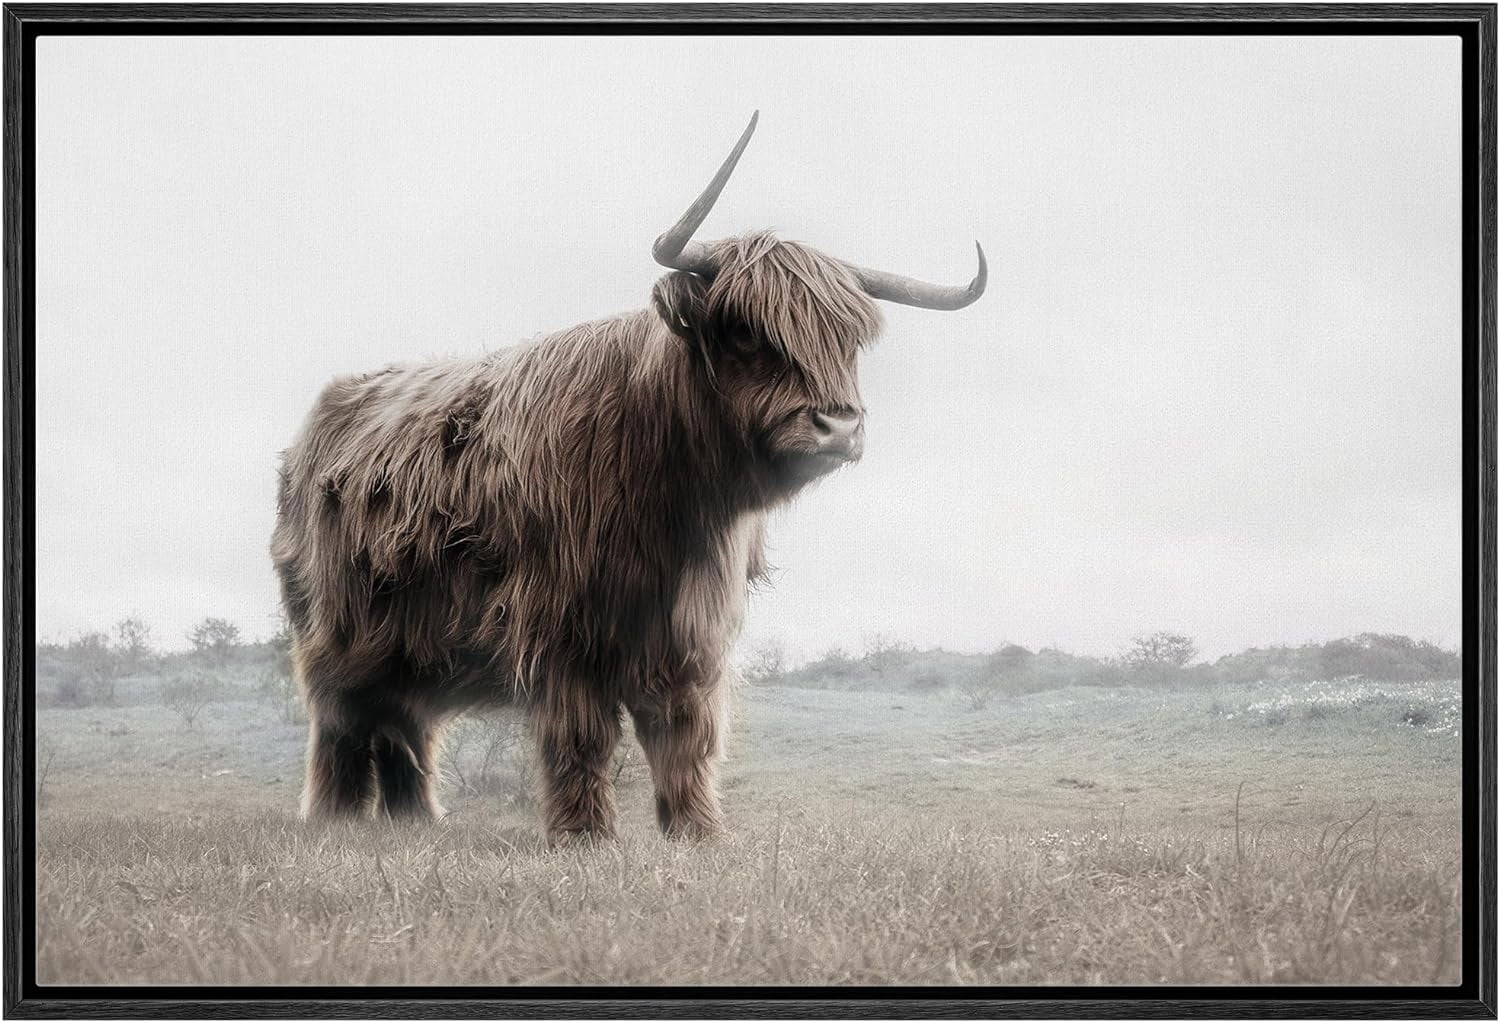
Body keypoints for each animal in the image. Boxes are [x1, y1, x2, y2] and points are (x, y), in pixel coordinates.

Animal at [270, 112, 986, 844]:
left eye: (848, 341)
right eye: (745, 332)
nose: (838, 427)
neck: (671, 497)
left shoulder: (691, 630)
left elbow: (685, 735)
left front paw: (696, 832)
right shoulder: (562, 626)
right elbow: (582, 735)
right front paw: (584, 835)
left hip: (410, 649)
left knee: (405, 726)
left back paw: (415, 821)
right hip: (334, 636)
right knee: (343, 724)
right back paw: (335, 819)